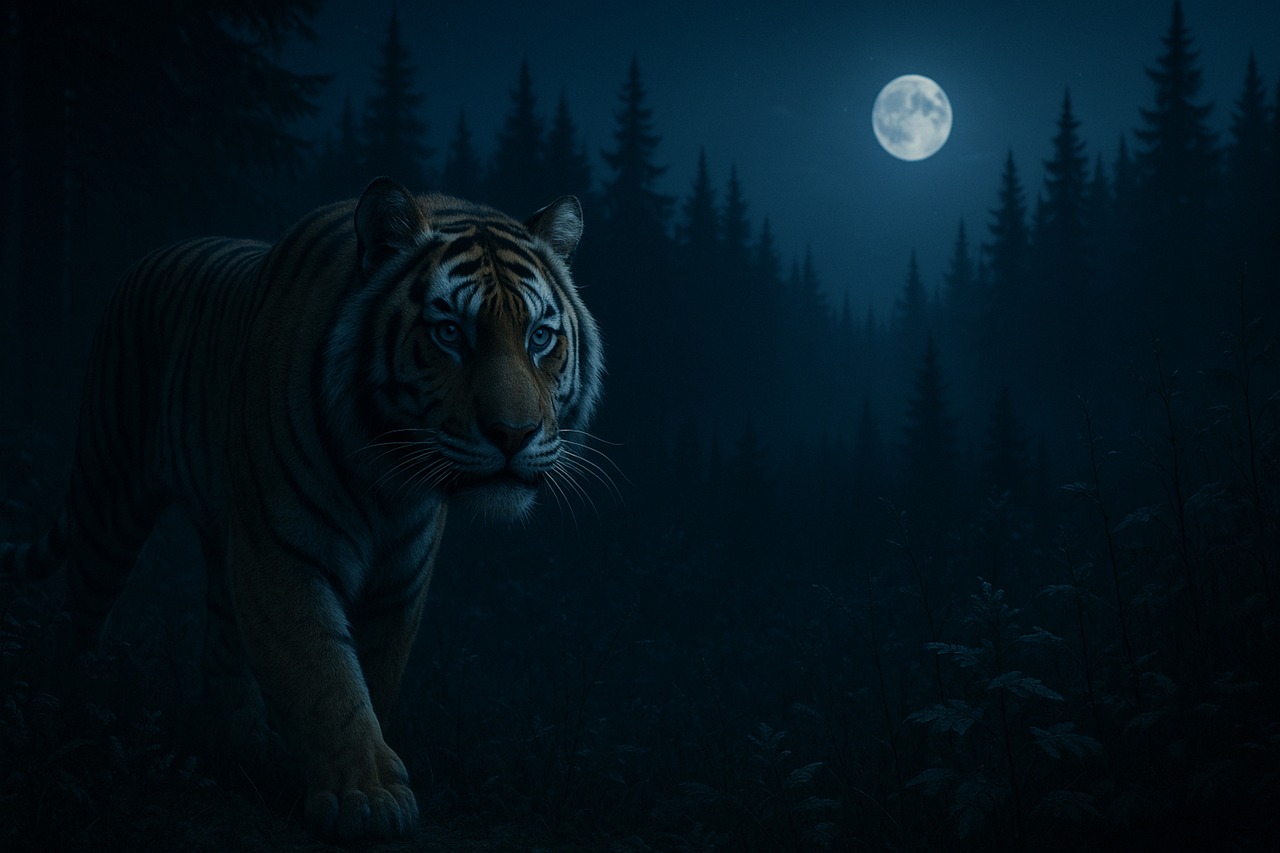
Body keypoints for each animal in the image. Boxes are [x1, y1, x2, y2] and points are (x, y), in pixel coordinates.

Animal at [0, 177, 603, 839]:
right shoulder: (281, 554)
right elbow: (324, 675)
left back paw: (241, 748)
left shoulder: (400, 578)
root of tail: (155, 253)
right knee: (80, 618)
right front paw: (368, 797)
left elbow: (372, 675)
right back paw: (71, 711)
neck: (387, 475)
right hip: (109, 495)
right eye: (449, 333)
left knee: (221, 649)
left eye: (539, 337)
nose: (514, 435)